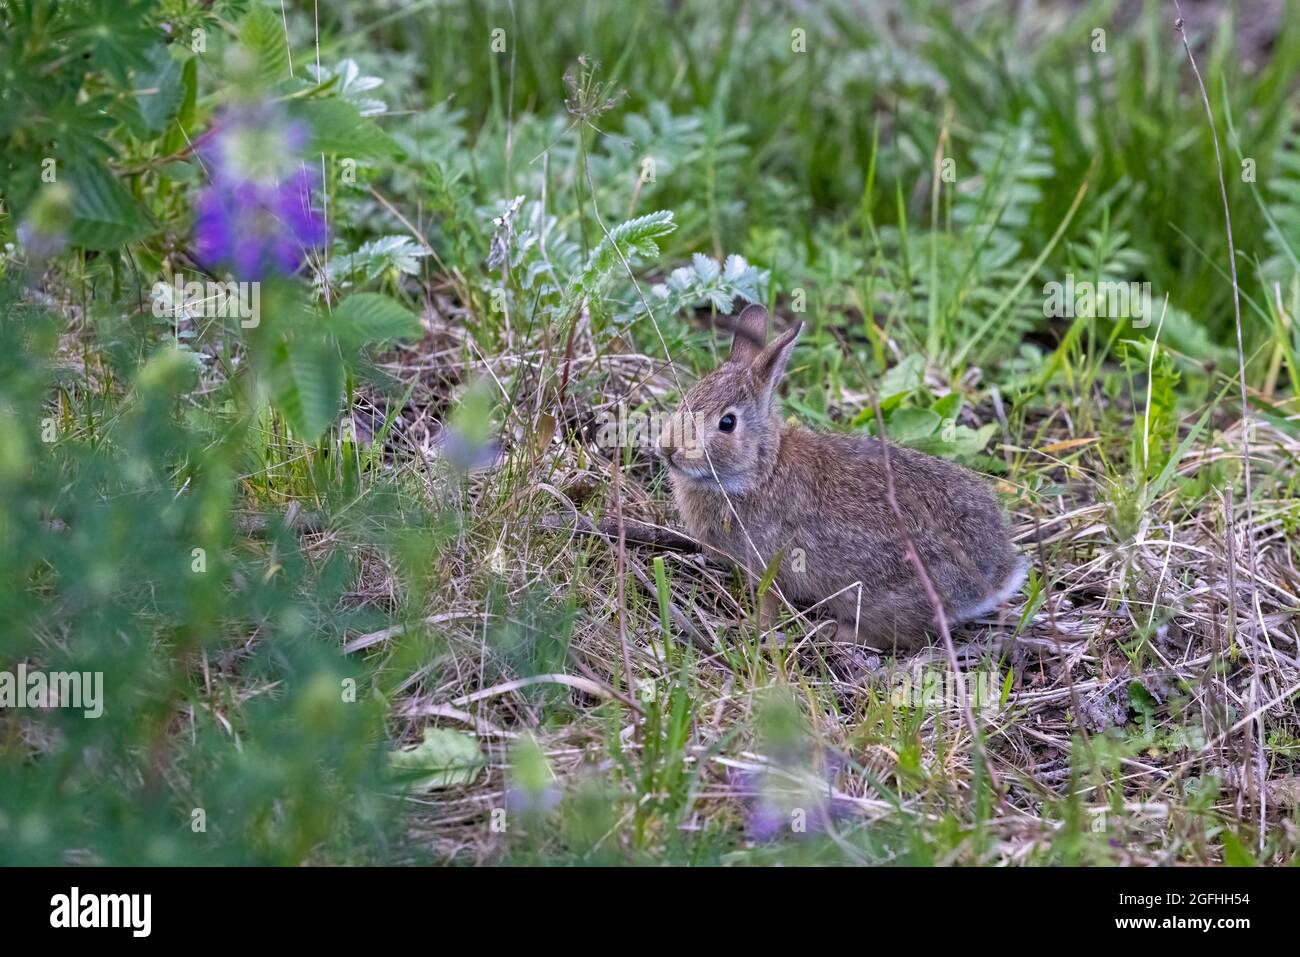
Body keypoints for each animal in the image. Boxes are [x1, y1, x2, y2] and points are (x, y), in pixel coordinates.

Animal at [656, 303, 1025, 651]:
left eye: (727, 423)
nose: (667, 447)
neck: (760, 470)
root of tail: (991, 578)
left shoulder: (770, 564)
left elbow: (769, 602)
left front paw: (750, 626)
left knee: (910, 637)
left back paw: (836, 633)